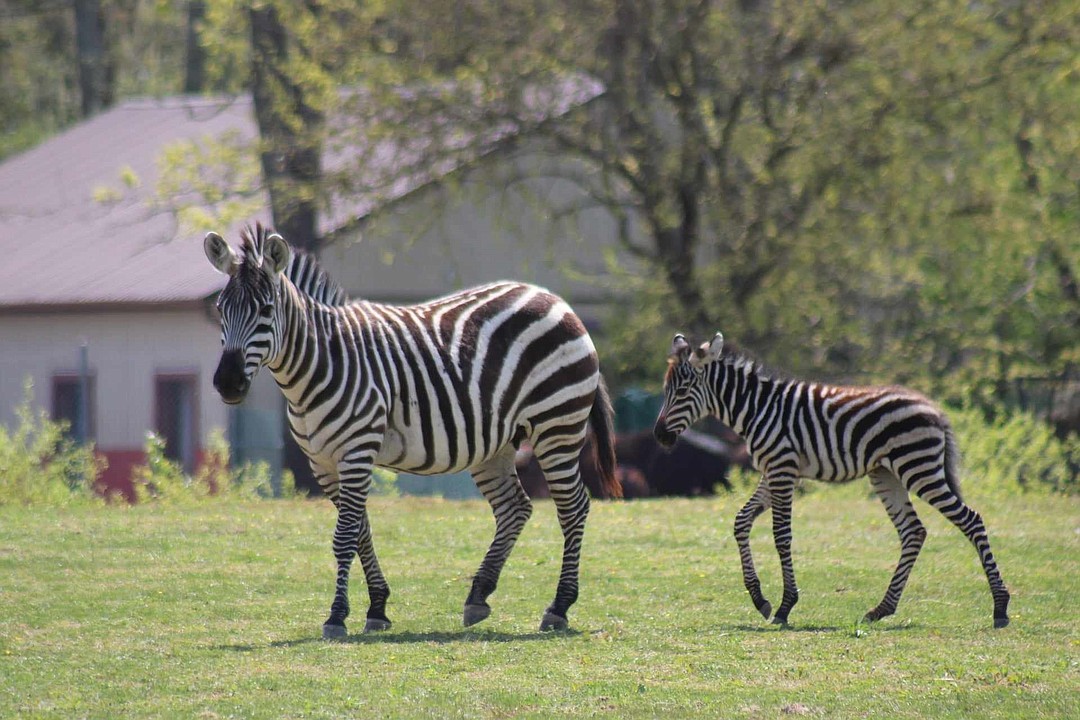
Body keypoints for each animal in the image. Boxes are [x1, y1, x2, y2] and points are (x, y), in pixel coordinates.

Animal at [202, 225, 621, 638]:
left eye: (266, 310)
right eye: (221, 309)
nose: (228, 383)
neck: (319, 364)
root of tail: (554, 300)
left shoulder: (357, 450)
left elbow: (345, 535)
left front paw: (337, 616)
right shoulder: (323, 462)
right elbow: (361, 531)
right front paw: (377, 607)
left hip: (557, 425)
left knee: (573, 507)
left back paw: (559, 607)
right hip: (496, 444)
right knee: (514, 507)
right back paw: (478, 596)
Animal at [653, 332, 1010, 628]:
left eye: (682, 391)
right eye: (665, 390)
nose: (659, 436)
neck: (756, 409)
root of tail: (934, 409)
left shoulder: (783, 469)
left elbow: (781, 536)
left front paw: (785, 606)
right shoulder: (773, 470)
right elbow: (741, 521)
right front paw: (760, 600)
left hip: (918, 468)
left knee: (971, 520)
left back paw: (1000, 607)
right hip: (887, 474)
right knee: (913, 532)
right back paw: (881, 609)